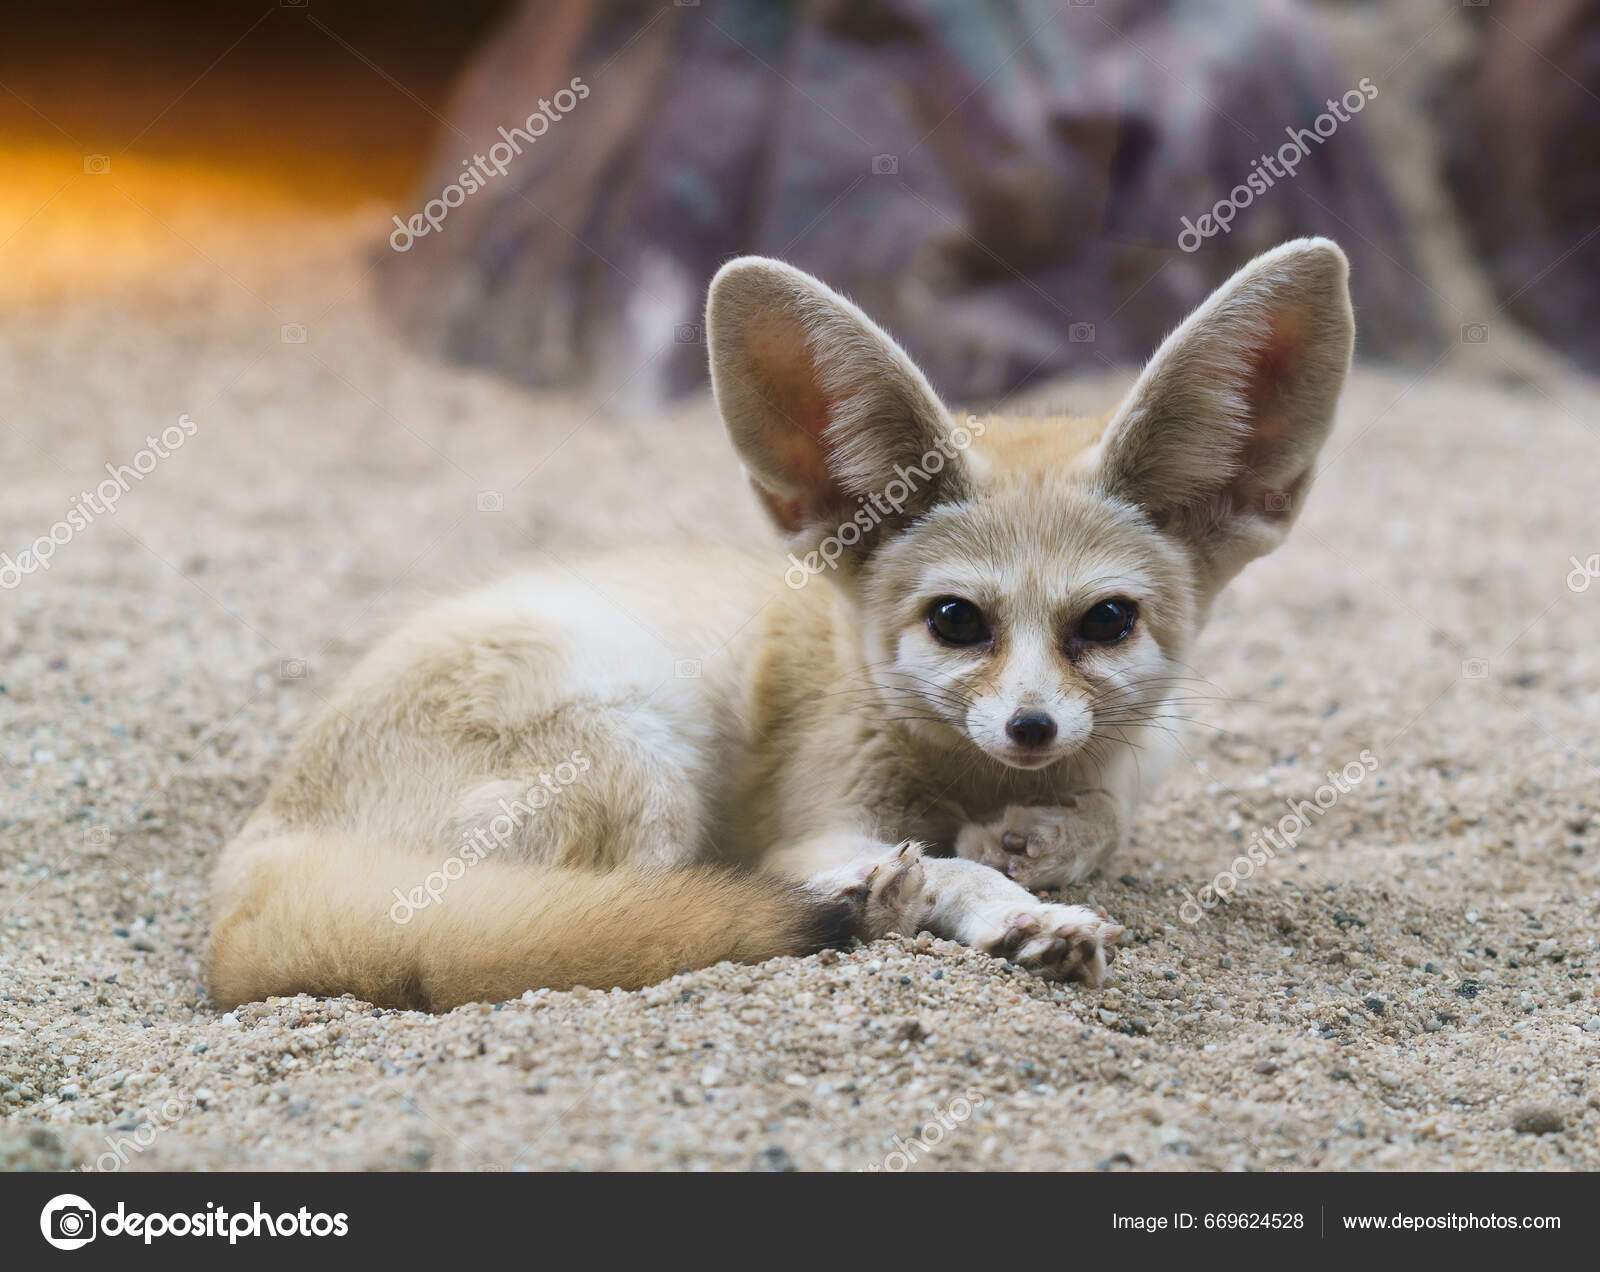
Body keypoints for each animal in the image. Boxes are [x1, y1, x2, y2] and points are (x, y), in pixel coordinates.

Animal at [207, 238, 1354, 1012]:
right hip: (640, 766)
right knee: (628, 915)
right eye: (955, 621)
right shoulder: (815, 819)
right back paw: (865, 906)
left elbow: (1096, 822)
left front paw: (1039, 846)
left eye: (1106, 622)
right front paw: (1013, 907)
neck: (970, 779)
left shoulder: (1124, 770)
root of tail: (257, 853)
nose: (1029, 727)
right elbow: (945, 866)